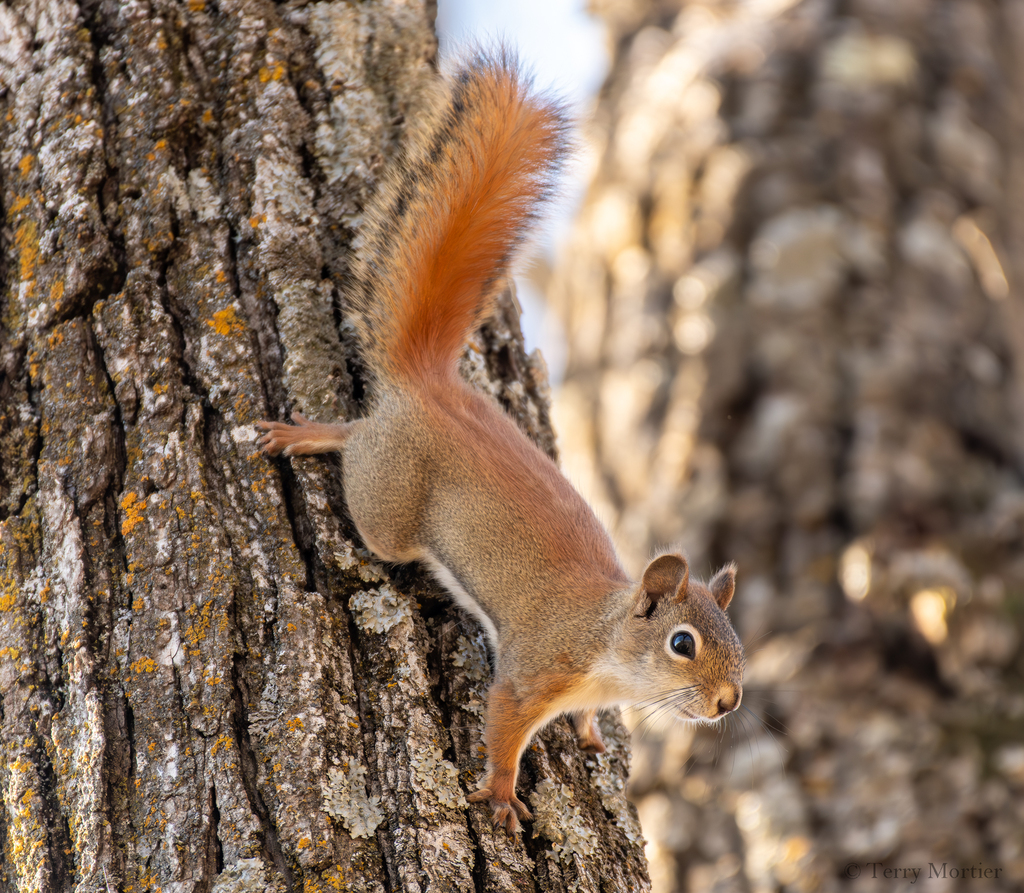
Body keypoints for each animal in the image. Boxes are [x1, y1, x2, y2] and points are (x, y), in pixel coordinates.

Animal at [258, 50, 745, 834]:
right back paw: (310, 434)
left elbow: (583, 718)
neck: (609, 641)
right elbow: (506, 726)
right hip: (388, 504)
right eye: (683, 644)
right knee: (357, 442)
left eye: (735, 640)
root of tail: (429, 385)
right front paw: (501, 792)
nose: (729, 701)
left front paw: (587, 733)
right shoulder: (534, 670)